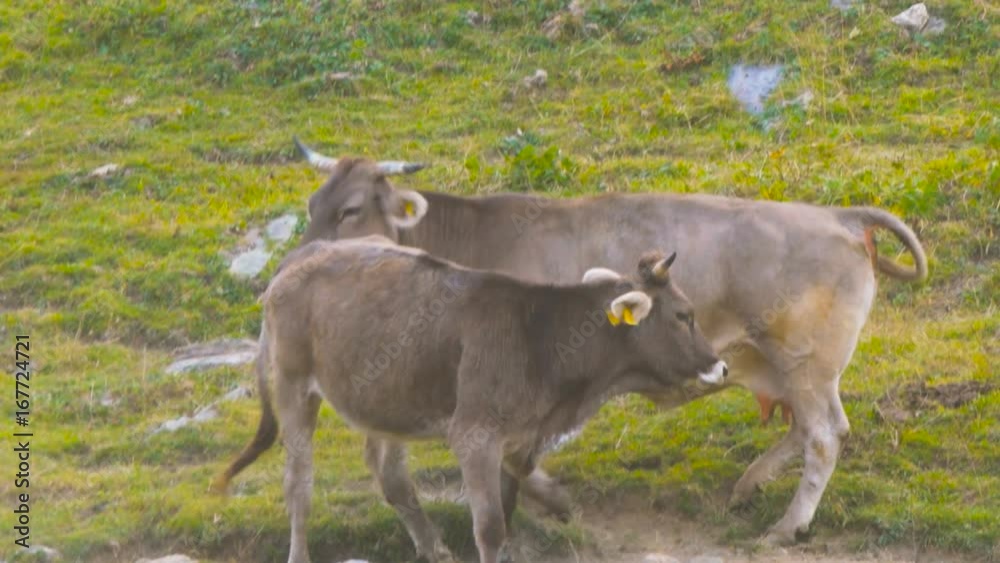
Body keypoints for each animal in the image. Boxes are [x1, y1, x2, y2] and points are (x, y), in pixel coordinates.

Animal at [238, 235, 727, 563]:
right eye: (684, 315)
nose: (721, 366)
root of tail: (306, 251)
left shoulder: (519, 436)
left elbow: (510, 507)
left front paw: (552, 499)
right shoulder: (474, 435)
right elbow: (490, 526)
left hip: (387, 397)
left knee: (389, 474)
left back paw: (434, 547)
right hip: (293, 385)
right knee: (298, 485)